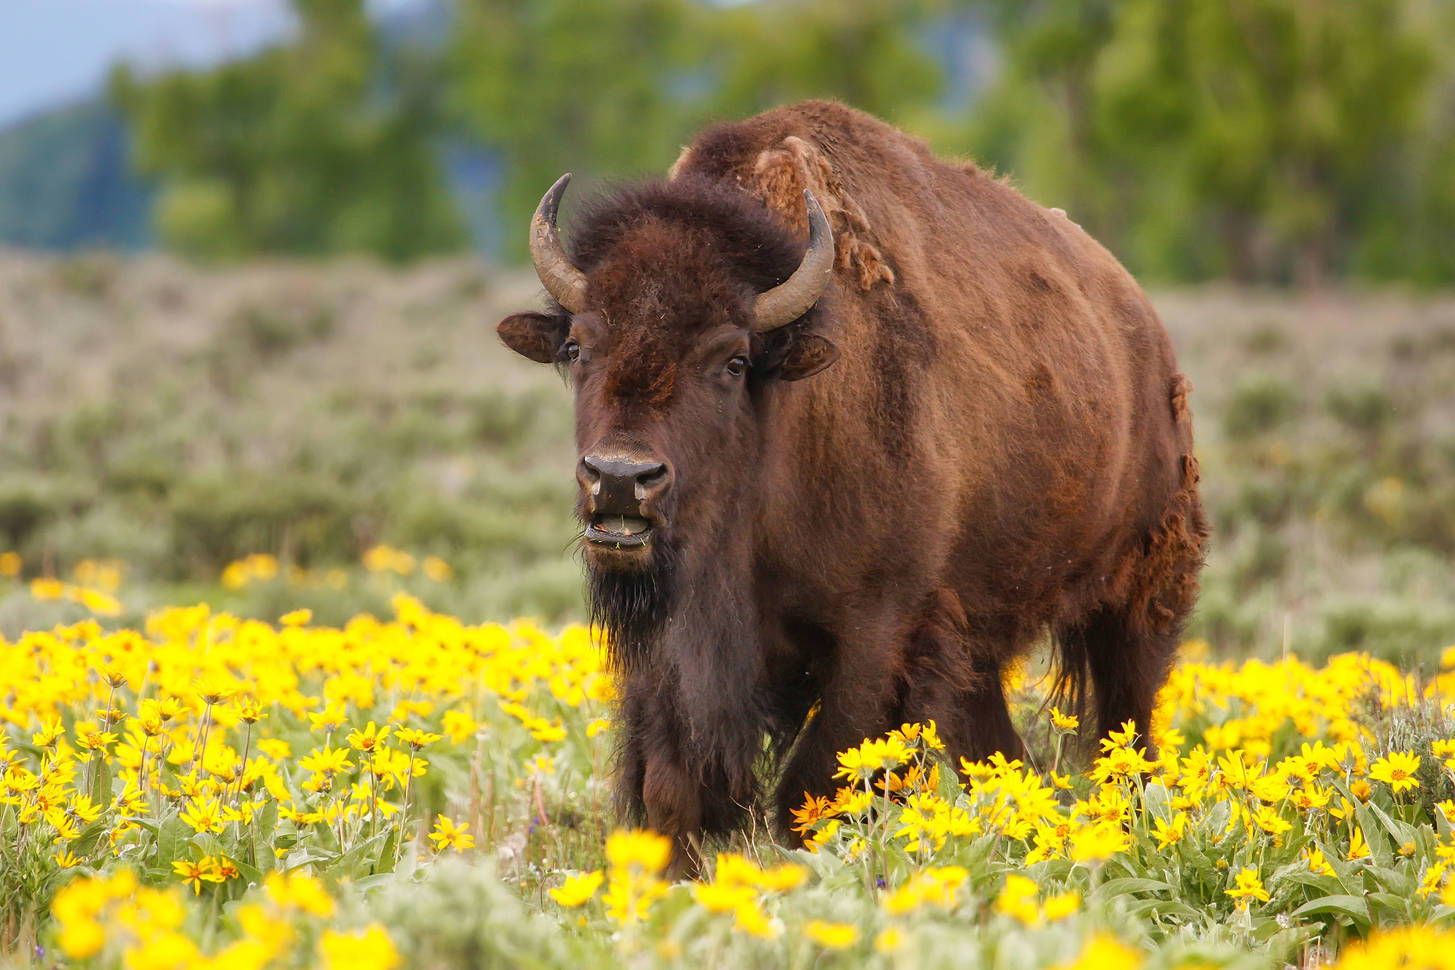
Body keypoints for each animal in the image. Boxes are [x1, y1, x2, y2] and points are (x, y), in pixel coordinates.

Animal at [496, 100, 1208, 877]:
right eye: (576, 347)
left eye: (733, 361)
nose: (622, 478)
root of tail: (1148, 338)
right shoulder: (671, 653)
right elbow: (669, 793)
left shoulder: (875, 637)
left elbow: (809, 793)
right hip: (978, 642)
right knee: (1004, 755)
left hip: (1139, 598)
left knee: (1130, 733)